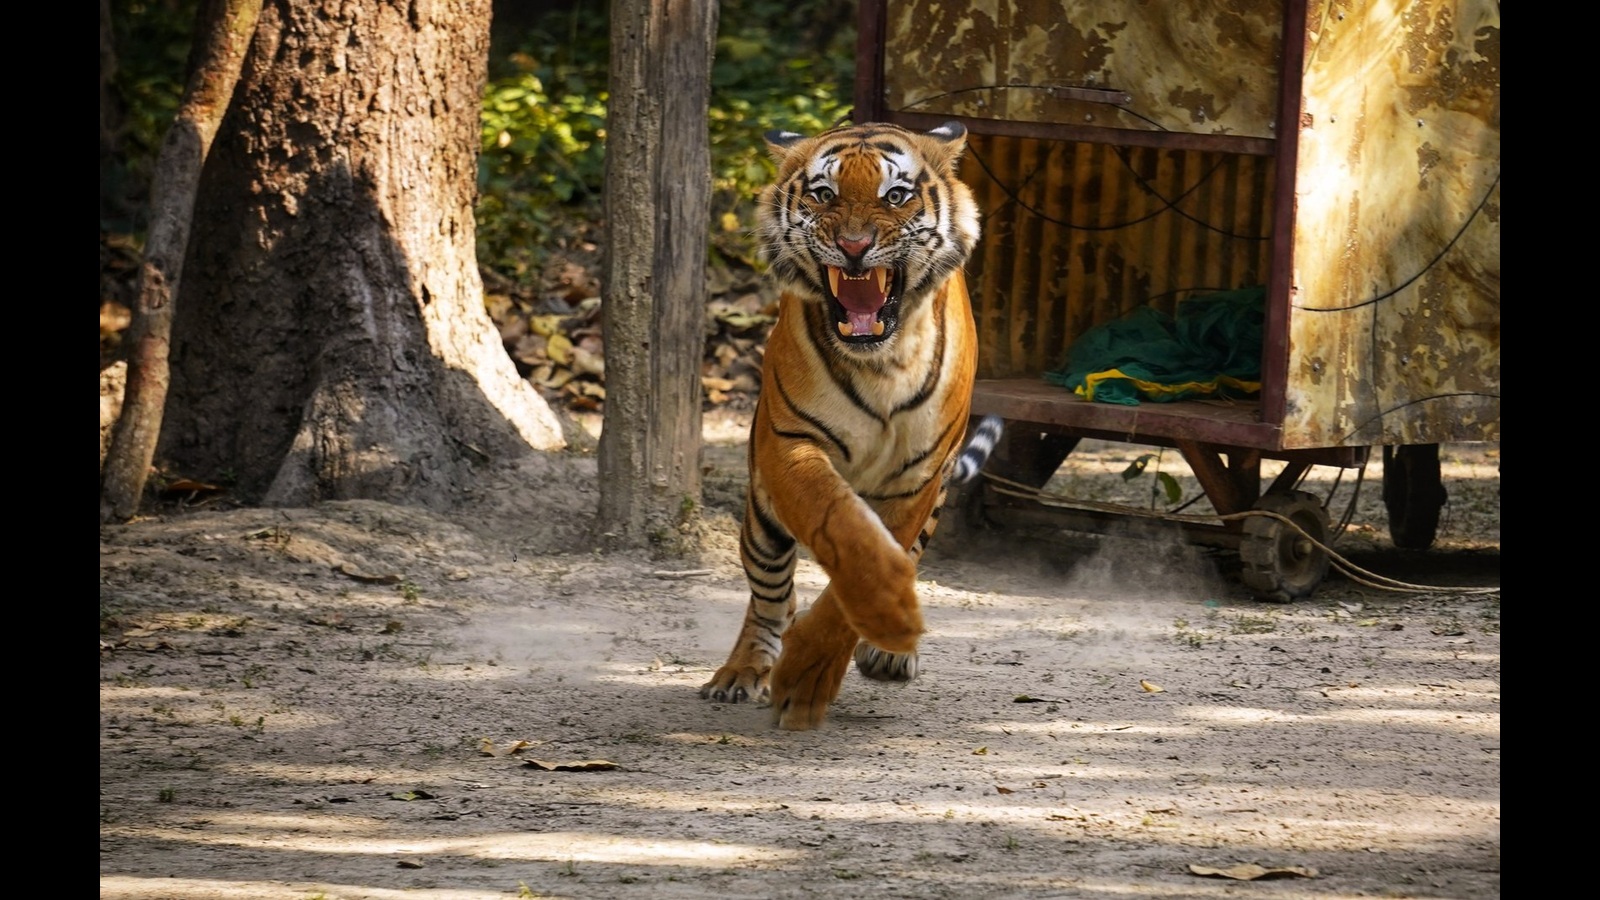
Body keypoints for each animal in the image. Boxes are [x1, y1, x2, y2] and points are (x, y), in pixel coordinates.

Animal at [698, 121, 995, 730]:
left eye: (896, 195)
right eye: (824, 194)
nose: (855, 247)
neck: (882, 362)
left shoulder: (915, 479)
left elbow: (868, 573)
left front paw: (828, 666)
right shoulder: (791, 443)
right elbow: (842, 532)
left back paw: (887, 655)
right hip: (761, 519)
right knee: (773, 598)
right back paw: (741, 673)